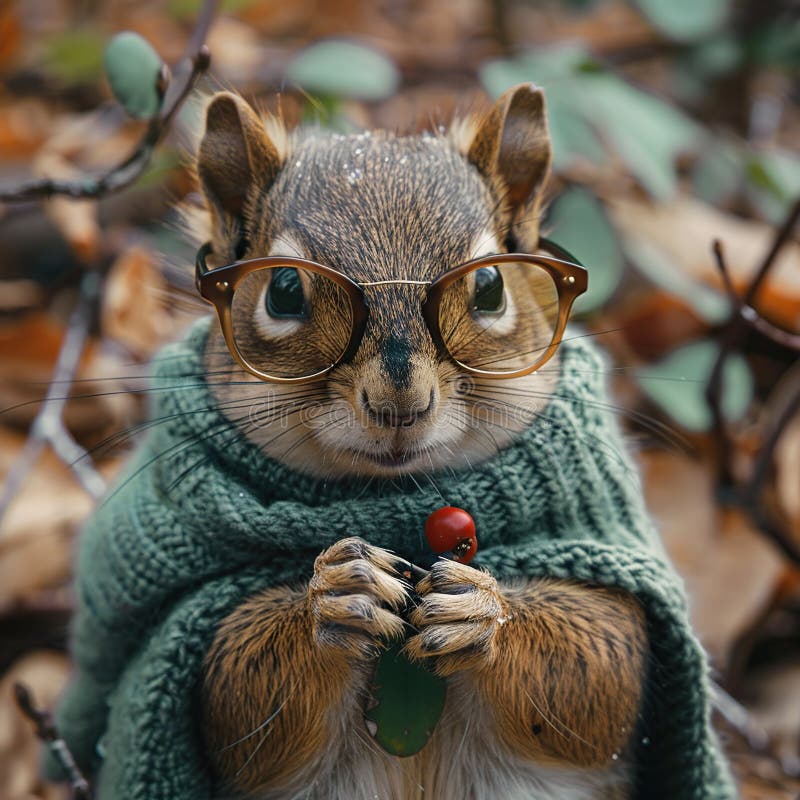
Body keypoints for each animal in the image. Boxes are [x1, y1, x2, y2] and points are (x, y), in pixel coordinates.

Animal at [195, 84, 649, 800]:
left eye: (490, 287)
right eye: (284, 290)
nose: (398, 405)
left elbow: (603, 669)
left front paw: (483, 612)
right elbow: (234, 695)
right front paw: (333, 601)